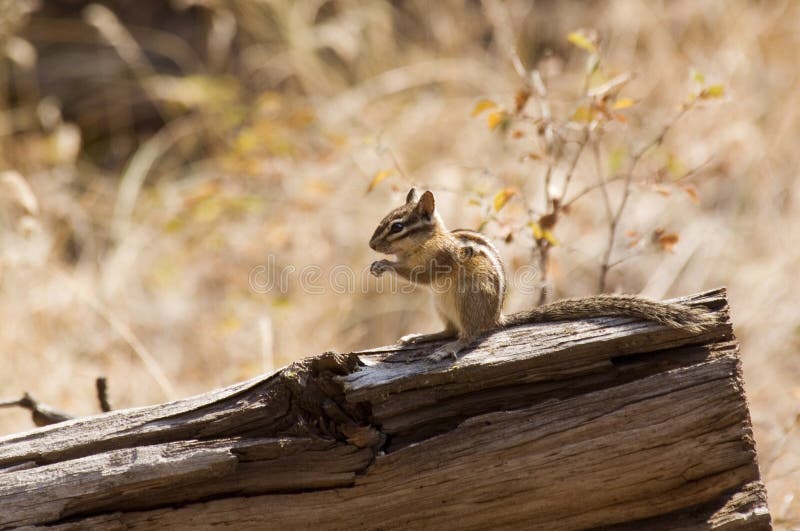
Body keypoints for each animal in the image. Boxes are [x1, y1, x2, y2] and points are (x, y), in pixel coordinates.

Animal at [369, 188, 717, 361]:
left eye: (397, 227)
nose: (372, 245)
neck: (426, 241)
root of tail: (496, 318)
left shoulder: (441, 259)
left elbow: (421, 275)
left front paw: (385, 266)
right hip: (441, 305)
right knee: (449, 330)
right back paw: (423, 337)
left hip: (467, 299)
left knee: (469, 335)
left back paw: (449, 349)